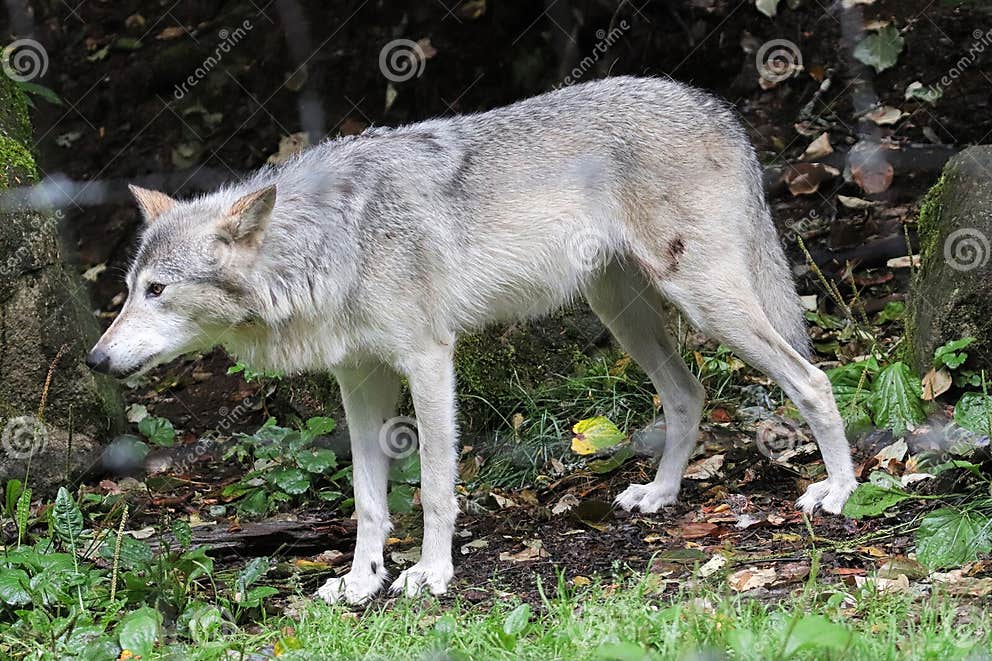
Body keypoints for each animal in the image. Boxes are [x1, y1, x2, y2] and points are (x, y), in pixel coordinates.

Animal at [87, 76, 857, 604]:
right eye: (126, 289)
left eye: (157, 290)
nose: (95, 358)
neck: (330, 241)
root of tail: (714, 104)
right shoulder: (359, 381)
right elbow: (367, 498)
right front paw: (361, 581)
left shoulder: (428, 361)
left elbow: (432, 486)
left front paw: (430, 573)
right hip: (625, 312)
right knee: (688, 393)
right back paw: (661, 495)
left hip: (707, 303)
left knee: (813, 379)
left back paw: (839, 491)